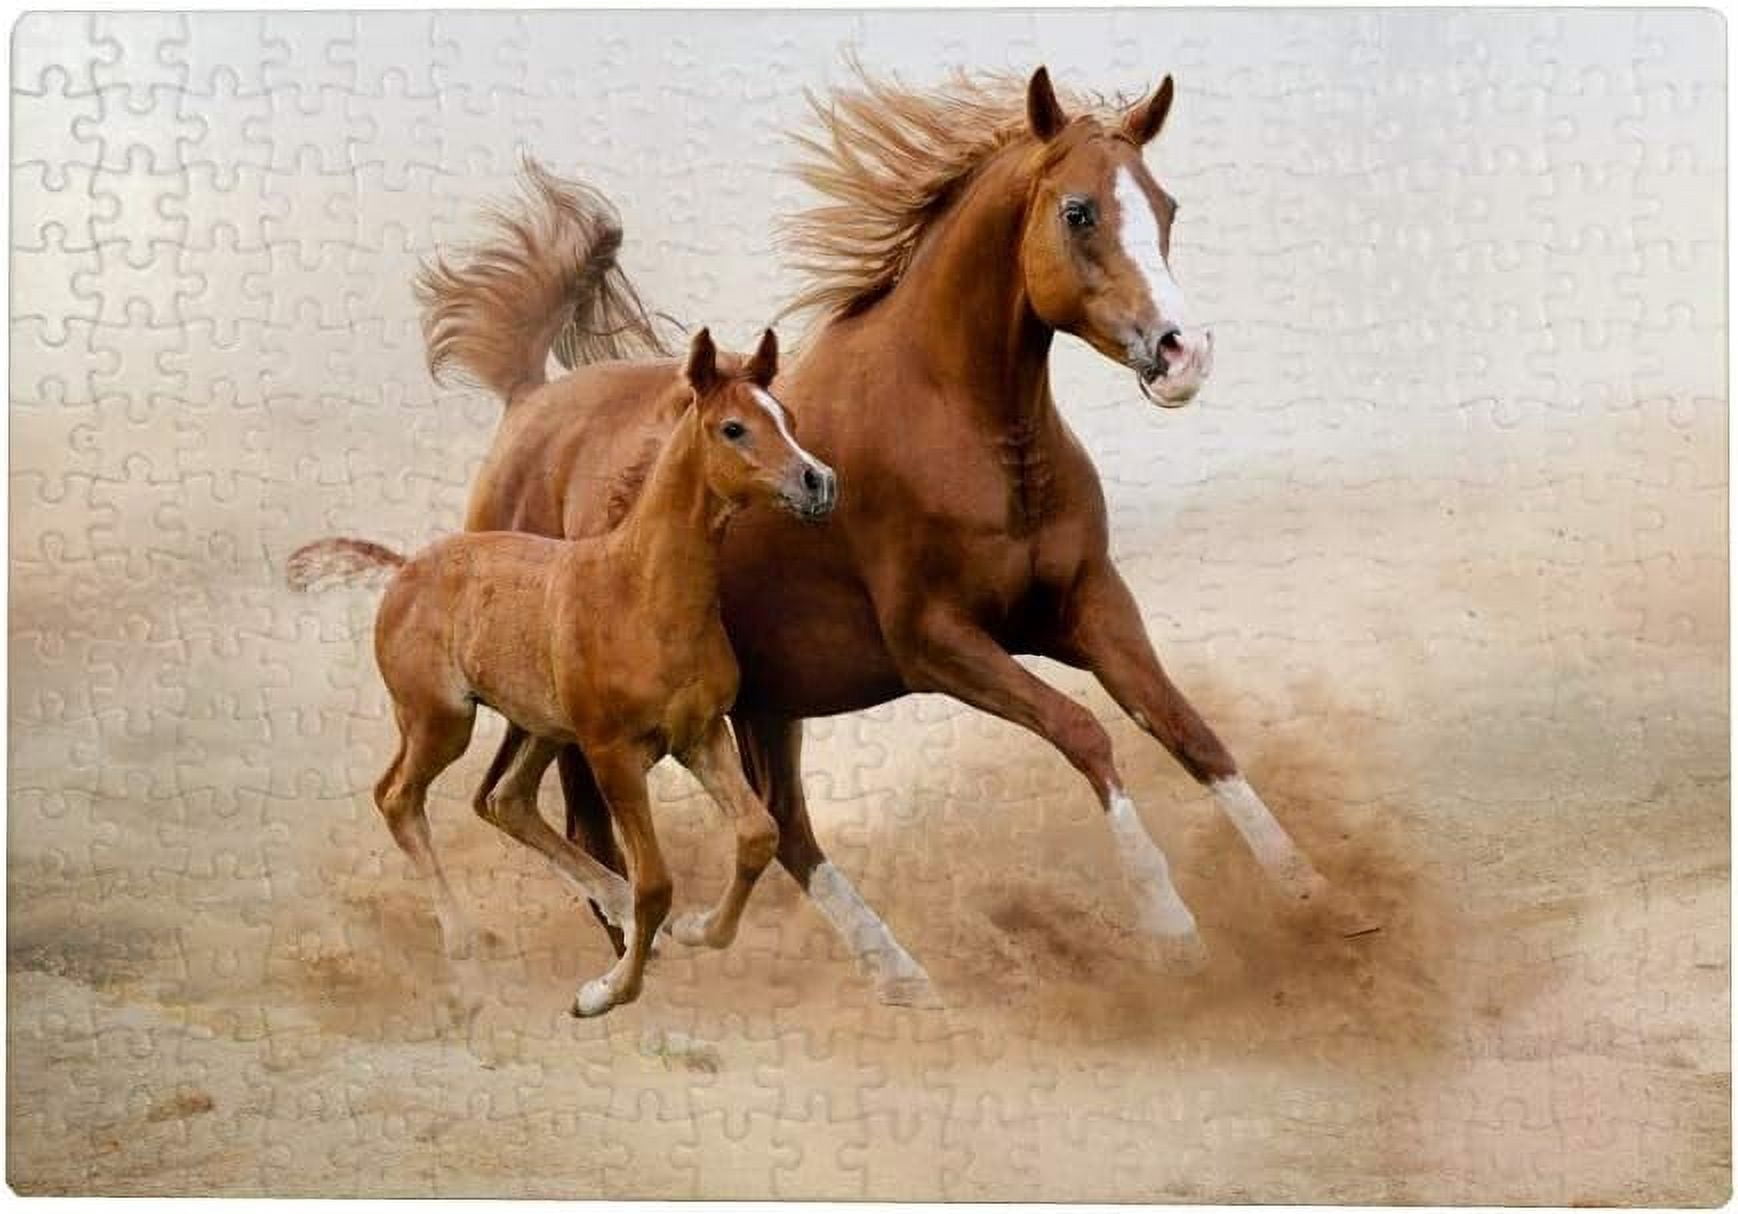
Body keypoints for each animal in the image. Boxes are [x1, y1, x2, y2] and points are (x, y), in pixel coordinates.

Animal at [360, 326, 836, 1016]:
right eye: (733, 428)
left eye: (789, 419)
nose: (818, 482)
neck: (642, 594)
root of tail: (403, 572)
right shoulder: (613, 753)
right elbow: (656, 882)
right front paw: (603, 993)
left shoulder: (701, 735)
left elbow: (757, 835)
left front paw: (699, 930)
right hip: (441, 721)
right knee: (398, 798)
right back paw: (463, 944)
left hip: (543, 728)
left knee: (506, 800)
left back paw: (617, 909)